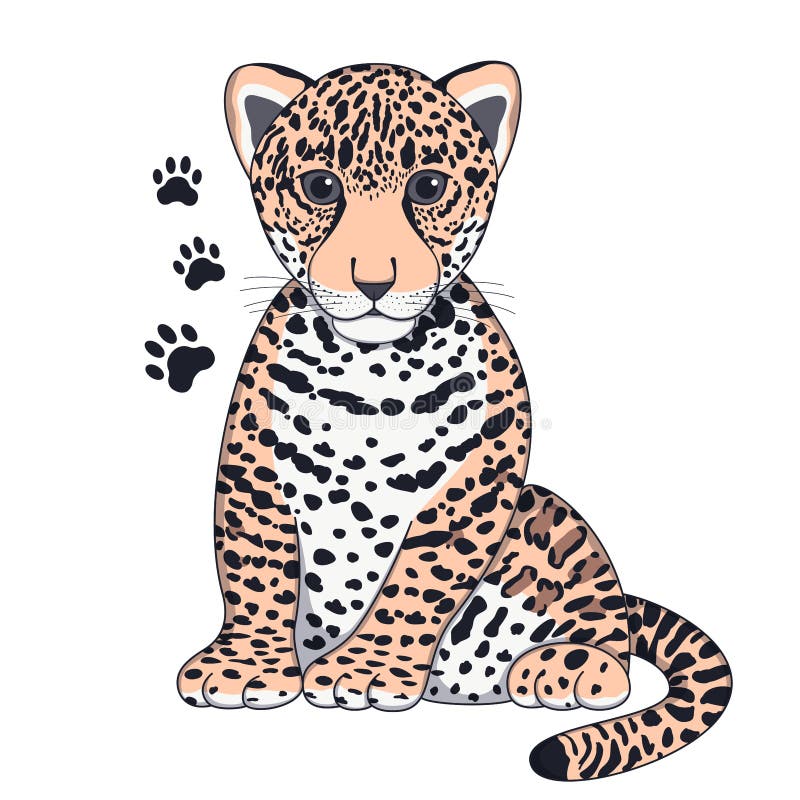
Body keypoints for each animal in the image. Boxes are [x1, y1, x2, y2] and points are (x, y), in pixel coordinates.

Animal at [177, 61, 731, 780]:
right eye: (321, 186)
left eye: (429, 187)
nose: (373, 281)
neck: (372, 369)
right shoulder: (254, 472)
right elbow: (255, 569)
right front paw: (244, 667)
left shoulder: (475, 480)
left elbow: (419, 580)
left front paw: (368, 672)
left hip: (556, 523)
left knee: (611, 633)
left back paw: (566, 667)